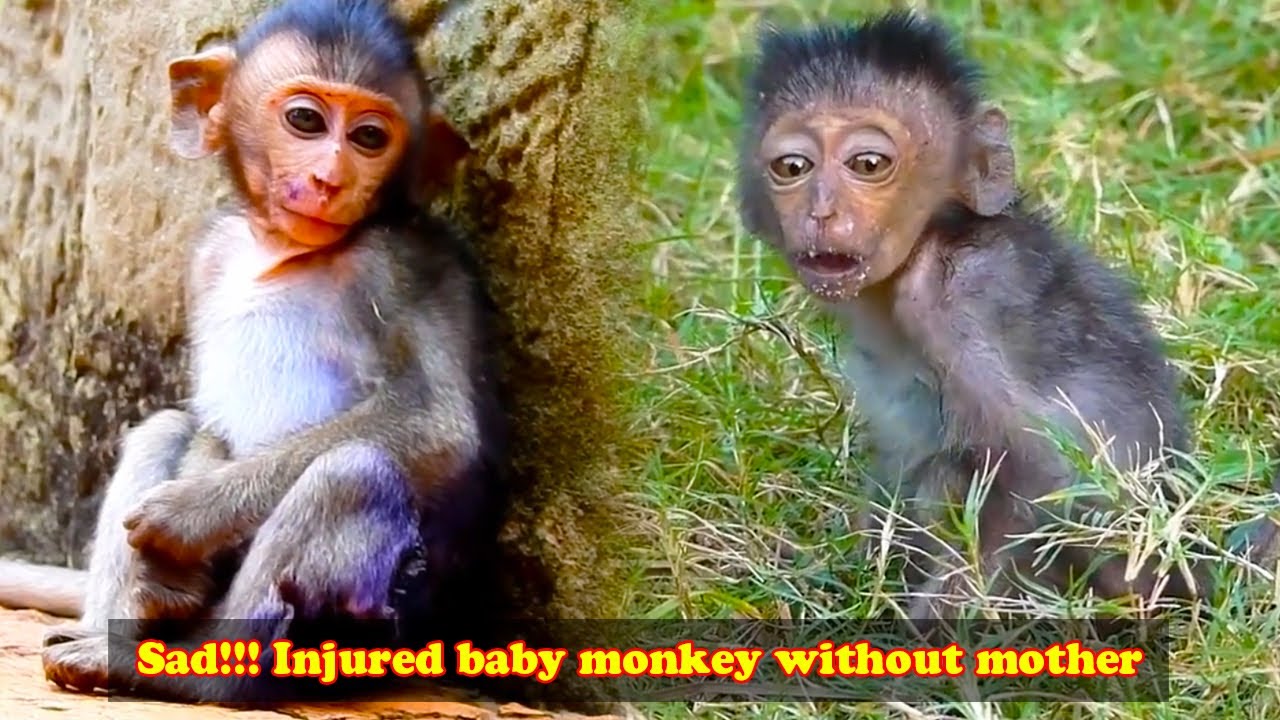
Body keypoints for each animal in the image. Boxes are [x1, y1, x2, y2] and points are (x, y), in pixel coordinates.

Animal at [23, 0, 510, 701]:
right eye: (305, 121)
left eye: (370, 137)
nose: (329, 179)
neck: (281, 252)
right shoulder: (208, 257)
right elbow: (207, 420)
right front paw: (165, 565)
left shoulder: (405, 261)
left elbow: (436, 425)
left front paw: (185, 514)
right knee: (164, 428)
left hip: (371, 629)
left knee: (352, 472)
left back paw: (182, 670)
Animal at [735, 11, 1280, 619]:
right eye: (793, 167)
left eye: (868, 164)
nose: (822, 210)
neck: (939, 235)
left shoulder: (955, 299)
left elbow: (1042, 470)